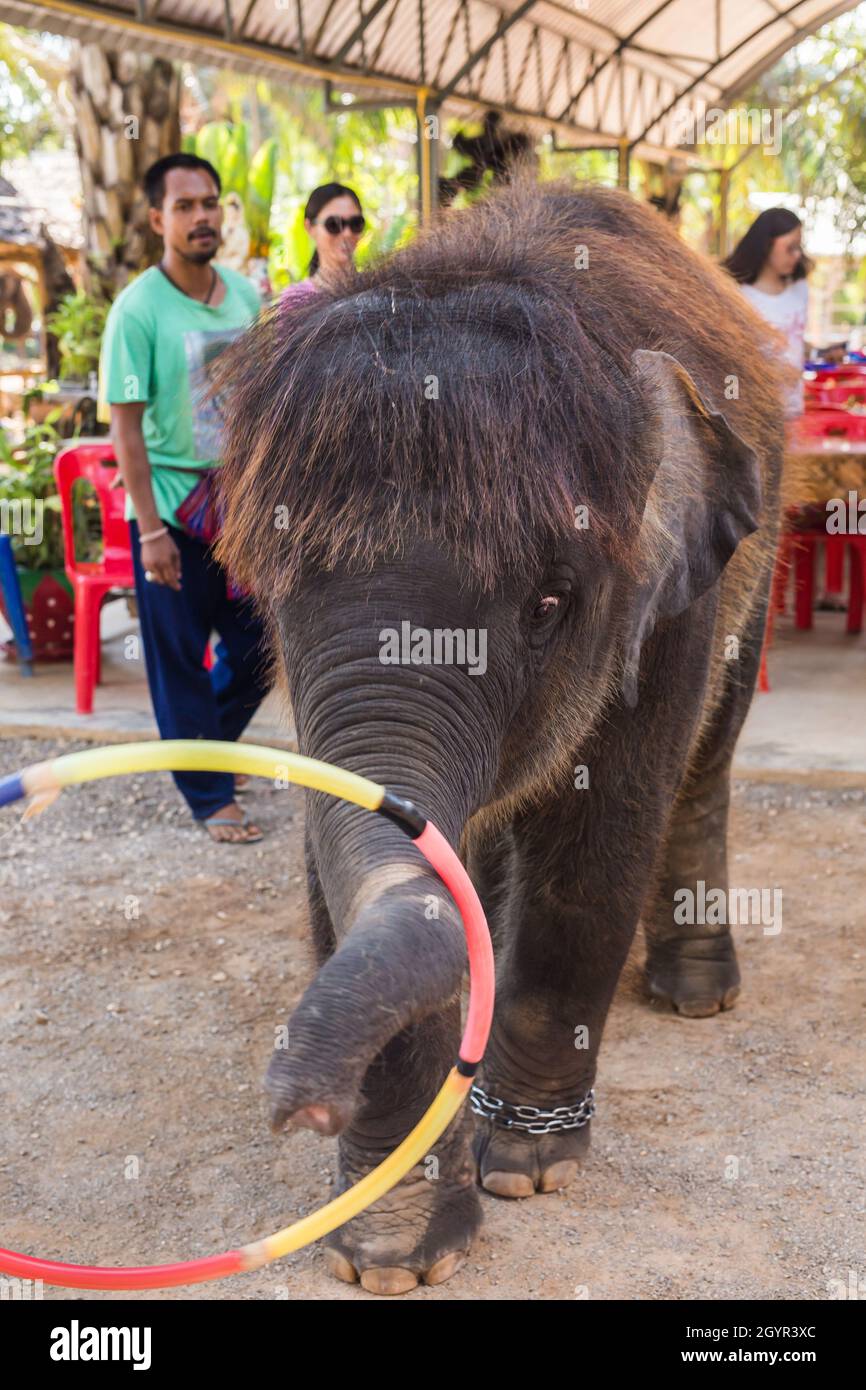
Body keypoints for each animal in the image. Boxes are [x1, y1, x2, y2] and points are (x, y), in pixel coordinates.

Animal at [215, 180, 788, 1295]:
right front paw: (389, 1251)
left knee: (704, 764)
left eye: (548, 603)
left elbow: (602, 833)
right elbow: (365, 875)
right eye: (275, 587)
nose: (295, 1101)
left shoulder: (674, 603)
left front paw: (521, 1165)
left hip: (762, 552)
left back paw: (694, 992)